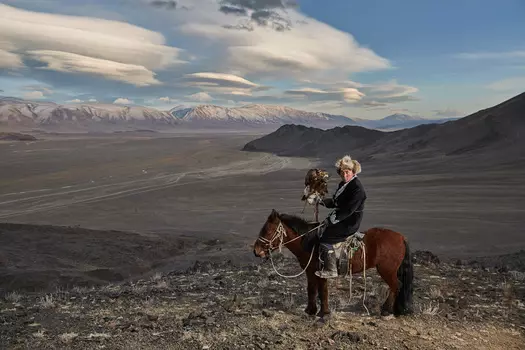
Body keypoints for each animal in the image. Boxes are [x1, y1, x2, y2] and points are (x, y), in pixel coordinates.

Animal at [253, 209, 414, 318]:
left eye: (268, 231)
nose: (256, 251)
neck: (311, 242)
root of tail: (401, 237)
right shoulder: (310, 271)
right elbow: (312, 289)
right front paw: (311, 311)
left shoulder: (322, 272)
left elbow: (322, 291)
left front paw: (323, 313)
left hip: (387, 270)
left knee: (396, 286)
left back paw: (386, 310)